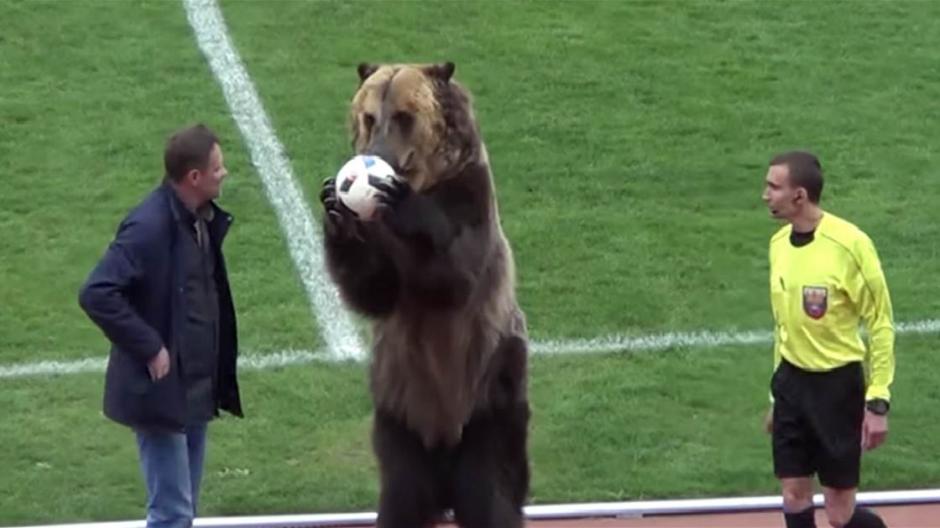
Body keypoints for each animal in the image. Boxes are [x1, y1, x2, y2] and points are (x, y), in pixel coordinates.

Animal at [319, 62, 531, 528]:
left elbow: (453, 276)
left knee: (492, 492)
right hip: (398, 412)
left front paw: (403, 201)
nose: (378, 155)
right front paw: (335, 212)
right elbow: (374, 289)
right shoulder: (379, 248)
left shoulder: (471, 200)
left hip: (490, 399)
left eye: (404, 116)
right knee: (403, 496)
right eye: (369, 116)